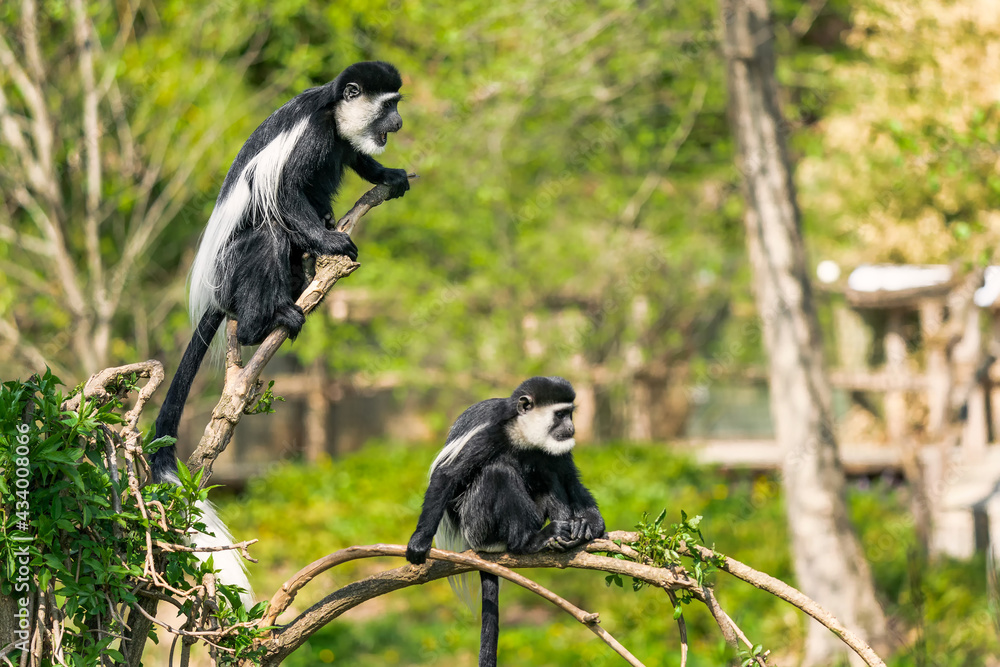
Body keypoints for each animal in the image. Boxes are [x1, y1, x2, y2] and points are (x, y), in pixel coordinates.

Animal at [149, 61, 410, 605]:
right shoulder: (313, 137)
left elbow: (357, 160)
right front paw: (332, 240)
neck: (332, 111)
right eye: (389, 105)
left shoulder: (342, 144)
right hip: (235, 269)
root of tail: (215, 292)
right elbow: (287, 192)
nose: (397, 125)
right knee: (270, 230)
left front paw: (389, 177)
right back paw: (264, 323)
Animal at [406, 377, 606, 667]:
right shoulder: (488, 435)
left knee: (547, 470)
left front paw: (591, 523)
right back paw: (531, 540)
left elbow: (568, 477)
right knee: (497, 472)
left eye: (570, 413)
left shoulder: (556, 448)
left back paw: (565, 536)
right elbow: (448, 476)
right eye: (560, 415)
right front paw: (419, 541)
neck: (520, 433)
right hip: (477, 524)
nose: (571, 429)